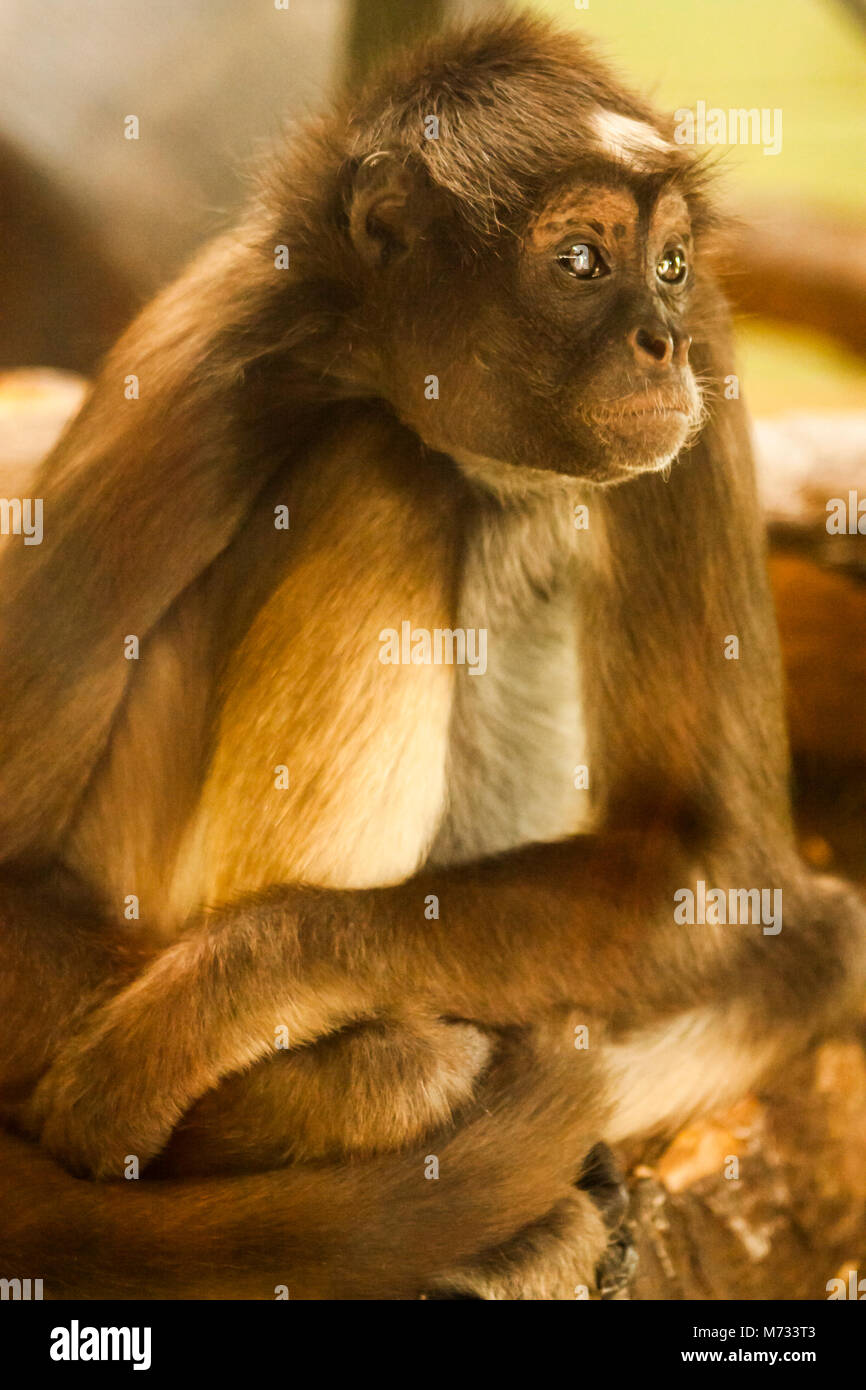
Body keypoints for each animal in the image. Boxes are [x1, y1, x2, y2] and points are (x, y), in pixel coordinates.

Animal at [0, 15, 865, 1301]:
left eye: (666, 266)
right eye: (577, 261)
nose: (656, 345)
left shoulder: (711, 346)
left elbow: (716, 861)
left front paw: (226, 994)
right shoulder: (206, 355)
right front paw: (347, 1087)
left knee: (812, 952)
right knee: (385, 465)